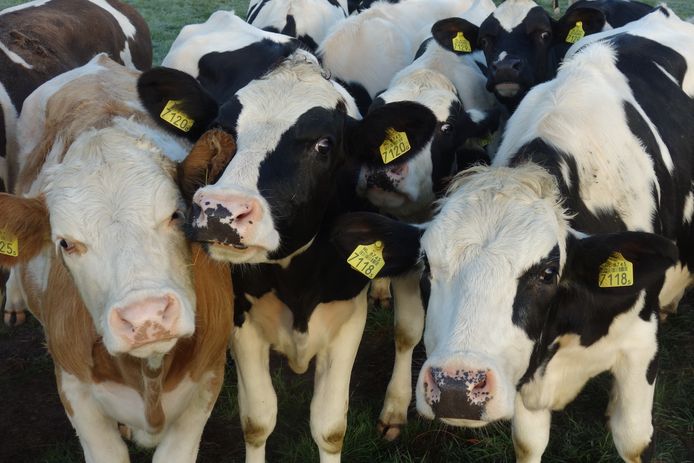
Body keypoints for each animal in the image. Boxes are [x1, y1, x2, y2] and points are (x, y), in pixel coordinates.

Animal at [136, 23, 442, 457]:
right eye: (219, 130)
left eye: (324, 144)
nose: (220, 210)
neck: (298, 281)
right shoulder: (243, 321)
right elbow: (258, 420)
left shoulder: (347, 316)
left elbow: (329, 425)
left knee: (407, 330)